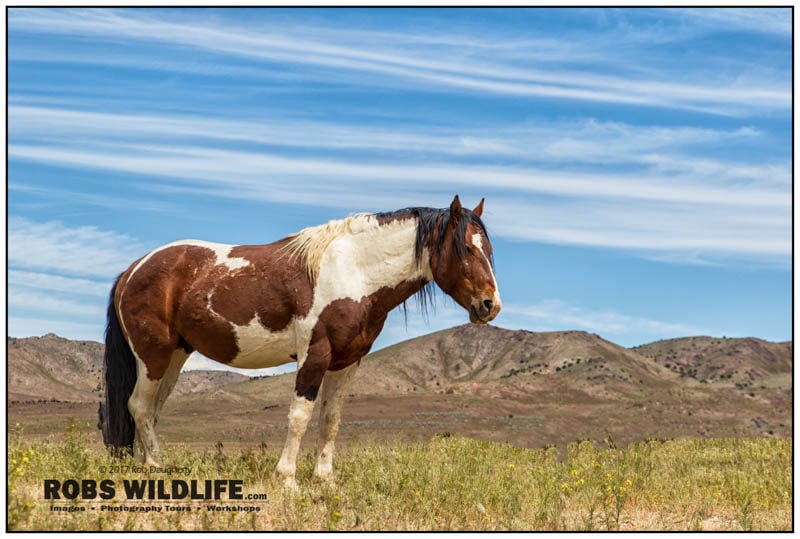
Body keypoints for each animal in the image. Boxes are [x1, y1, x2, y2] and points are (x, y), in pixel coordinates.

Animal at [100, 195, 501, 489]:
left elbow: (331, 419)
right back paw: (155, 466)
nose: (490, 305)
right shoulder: (315, 355)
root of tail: (133, 270)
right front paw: (287, 480)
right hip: (153, 355)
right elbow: (299, 415)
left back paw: (147, 467)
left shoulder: (346, 362)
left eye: (489, 250)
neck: (354, 271)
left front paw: (325, 481)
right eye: (466, 249)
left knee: (150, 410)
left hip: (174, 357)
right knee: (139, 406)